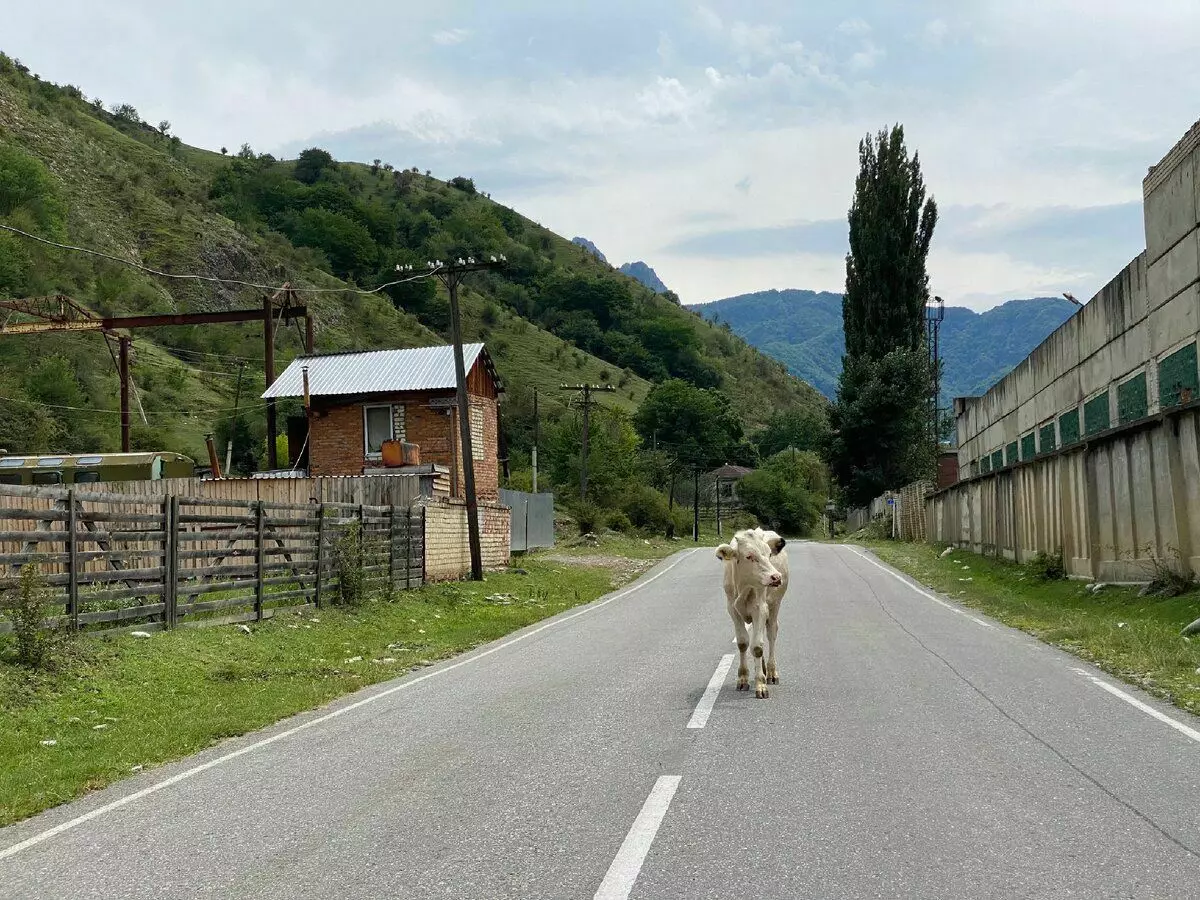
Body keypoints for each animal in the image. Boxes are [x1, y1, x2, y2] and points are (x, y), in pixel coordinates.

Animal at [710, 532, 787, 700]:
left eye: (769, 554)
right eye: (749, 556)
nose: (776, 577)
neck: (743, 586)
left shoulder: (760, 608)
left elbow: (757, 647)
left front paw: (761, 685)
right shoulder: (732, 610)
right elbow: (743, 643)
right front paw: (743, 679)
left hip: (775, 604)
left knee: (771, 633)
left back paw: (771, 672)